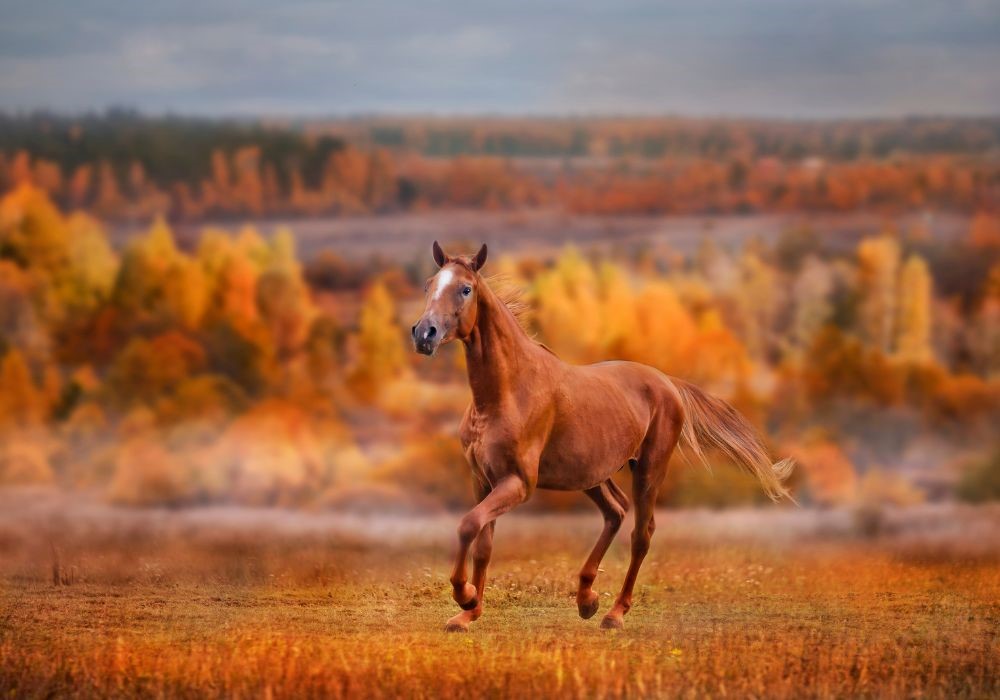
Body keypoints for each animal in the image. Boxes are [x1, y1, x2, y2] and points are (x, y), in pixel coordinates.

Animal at [410, 241, 794, 632]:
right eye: (428, 285)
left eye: (465, 289)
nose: (424, 334)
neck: (505, 392)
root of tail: (667, 382)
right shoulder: (483, 480)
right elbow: (482, 541)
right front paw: (468, 613)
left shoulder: (518, 483)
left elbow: (467, 525)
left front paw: (465, 596)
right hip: (593, 474)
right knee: (616, 511)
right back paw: (587, 599)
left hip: (649, 469)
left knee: (641, 534)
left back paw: (614, 613)